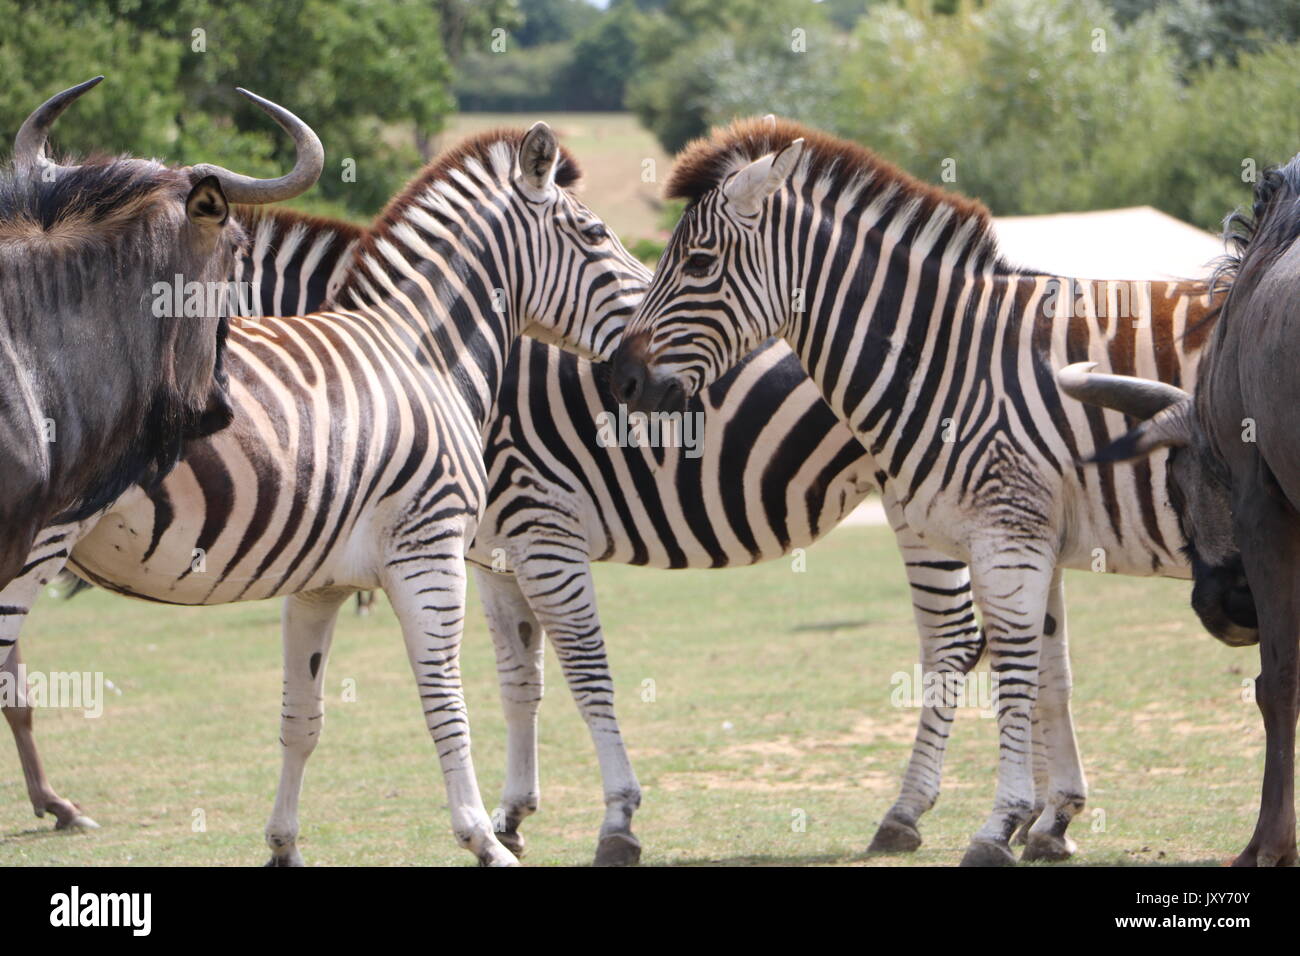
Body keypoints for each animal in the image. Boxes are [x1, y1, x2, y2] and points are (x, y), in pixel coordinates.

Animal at [0, 123, 647, 865]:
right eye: (595, 234)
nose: (646, 352)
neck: (423, 353)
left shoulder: (320, 581)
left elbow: (301, 717)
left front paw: (283, 844)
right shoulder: (430, 553)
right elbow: (446, 705)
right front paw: (483, 838)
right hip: (32, 550)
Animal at [610, 117, 1221, 866]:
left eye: (698, 263)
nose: (619, 380)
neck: (956, 359)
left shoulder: (1006, 532)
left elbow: (1012, 667)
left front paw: (999, 824)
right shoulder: (1035, 533)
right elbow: (1051, 672)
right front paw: (1053, 819)